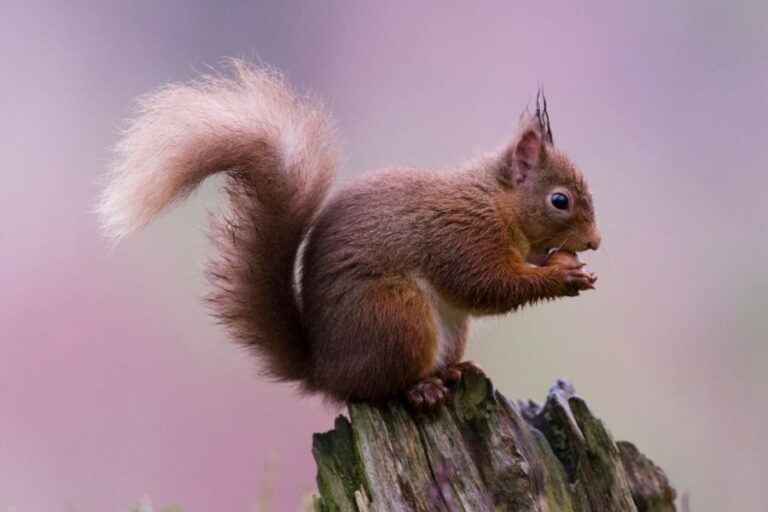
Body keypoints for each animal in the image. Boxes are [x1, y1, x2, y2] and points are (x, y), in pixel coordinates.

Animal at [99, 60, 600, 413]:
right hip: (396, 315)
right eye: (560, 200)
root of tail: (326, 371)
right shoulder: (460, 236)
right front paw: (562, 276)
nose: (594, 242)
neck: (495, 202)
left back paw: (457, 370)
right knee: (379, 390)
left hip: (442, 328)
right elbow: (488, 286)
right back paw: (421, 389)